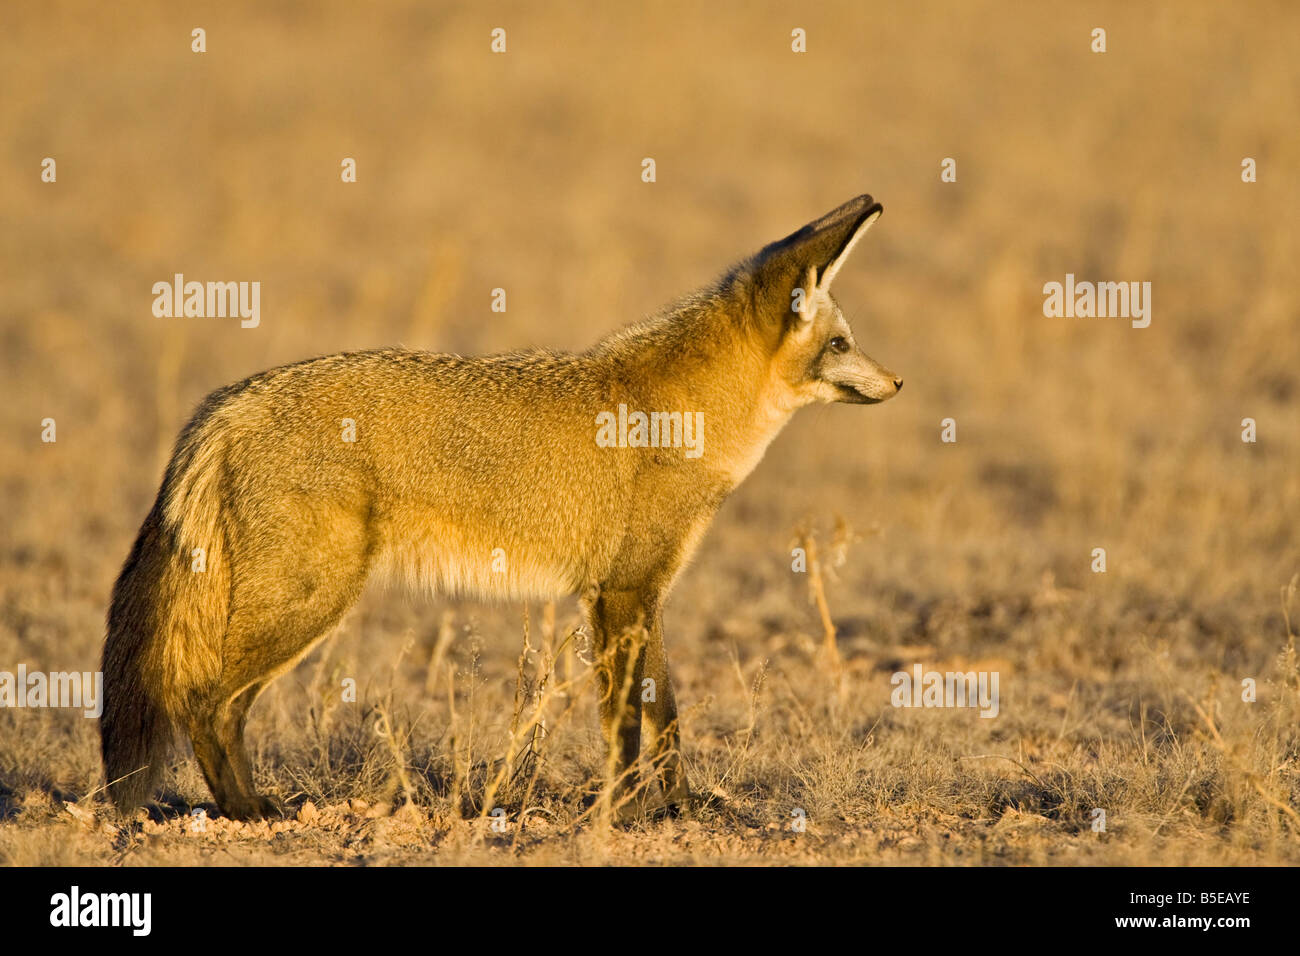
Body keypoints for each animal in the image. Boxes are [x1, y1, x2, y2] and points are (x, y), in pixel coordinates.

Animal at [100, 193, 903, 821]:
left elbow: (664, 713)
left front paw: (677, 806)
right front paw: (624, 814)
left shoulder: (640, 593)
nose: (899, 382)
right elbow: (627, 723)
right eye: (841, 344)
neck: (685, 413)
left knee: (218, 706)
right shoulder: (620, 594)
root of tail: (223, 406)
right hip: (307, 605)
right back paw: (245, 810)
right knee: (205, 702)